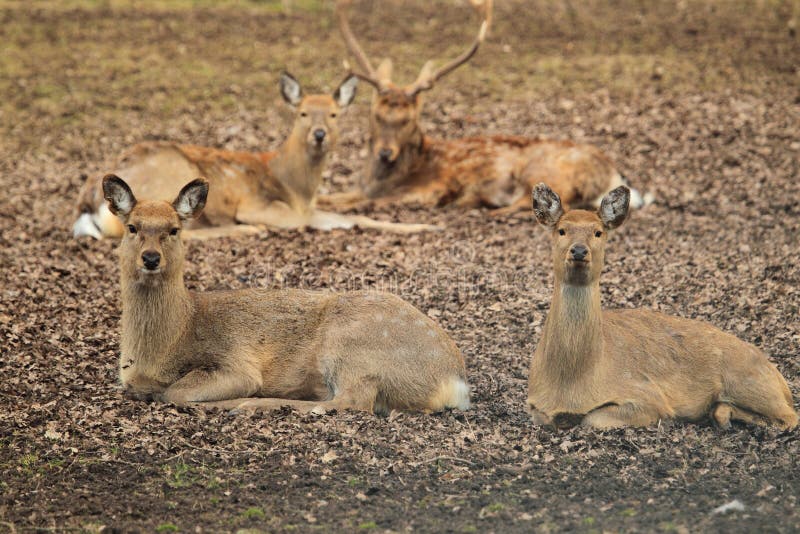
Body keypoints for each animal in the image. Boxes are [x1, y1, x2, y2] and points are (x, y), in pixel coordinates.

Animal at [73, 72, 435, 240]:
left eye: (334, 114)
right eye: (302, 113)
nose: (319, 135)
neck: (297, 189)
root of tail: (88, 199)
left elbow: (358, 218)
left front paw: (425, 227)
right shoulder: (255, 204)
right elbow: (313, 222)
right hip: (170, 179)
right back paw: (249, 231)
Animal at [102, 174, 470, 413]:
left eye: (174, 229)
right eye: (132, 227)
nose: (151, 258)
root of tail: (454, 382)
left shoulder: (234, 361)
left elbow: (175, 393)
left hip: (354, 346)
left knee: (352, 402)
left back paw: (250, 405)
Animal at [320, 0, 649, 215]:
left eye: (410, 120)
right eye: (375, 114)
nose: (385, 153)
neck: (382, 179)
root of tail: (615, 175)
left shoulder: (429, 190)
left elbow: (365, 204)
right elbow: (331, 197)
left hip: (542, 170)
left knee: (551, 202)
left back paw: (485, 206)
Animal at [527, 183, 797, 430]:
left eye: (598, 232)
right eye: (562, 230)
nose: (579, 250)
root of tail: (779, 379)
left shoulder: (646, 394)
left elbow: (591, 419)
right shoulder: (534, 403)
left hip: (747, 381)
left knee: (789, 417)